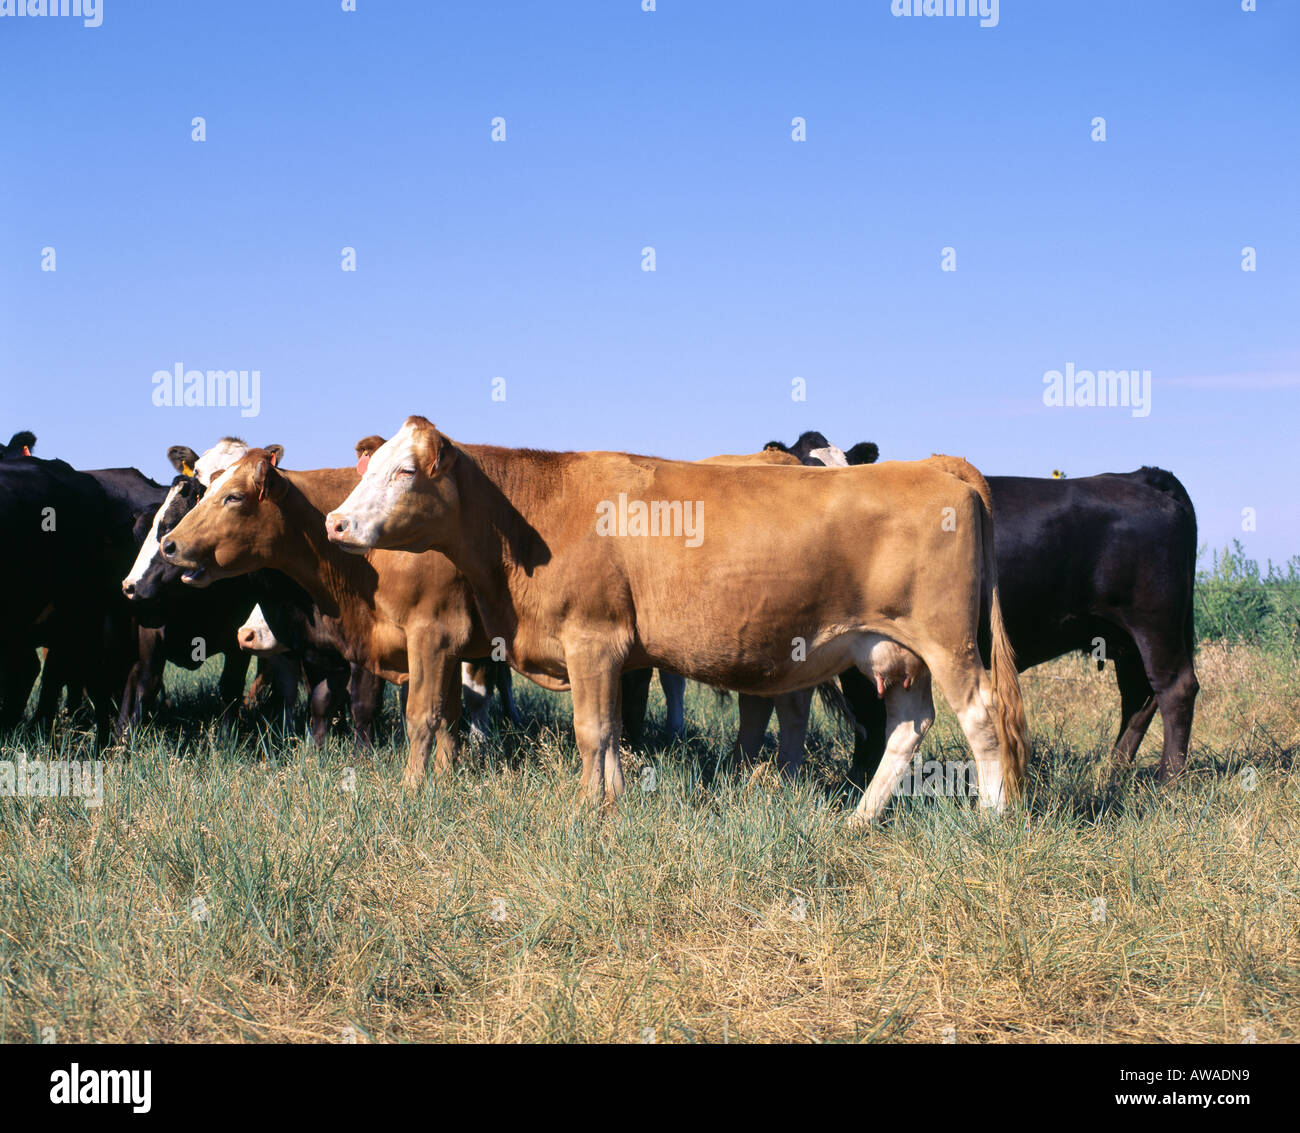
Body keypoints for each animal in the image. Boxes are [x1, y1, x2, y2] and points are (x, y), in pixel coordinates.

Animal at [323, 417, 1029, 822]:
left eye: (404, 470)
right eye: (370, 464)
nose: (336, 522)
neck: (535, 512)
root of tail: (936, 465)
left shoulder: (592, 639)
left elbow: (592, 730)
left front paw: (587, 811)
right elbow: (610, 732)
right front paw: (612, 802)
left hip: (947, 644)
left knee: (980, 717)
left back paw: (992, 817)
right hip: (894, 652)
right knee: (908, 726)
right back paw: (860, 818)